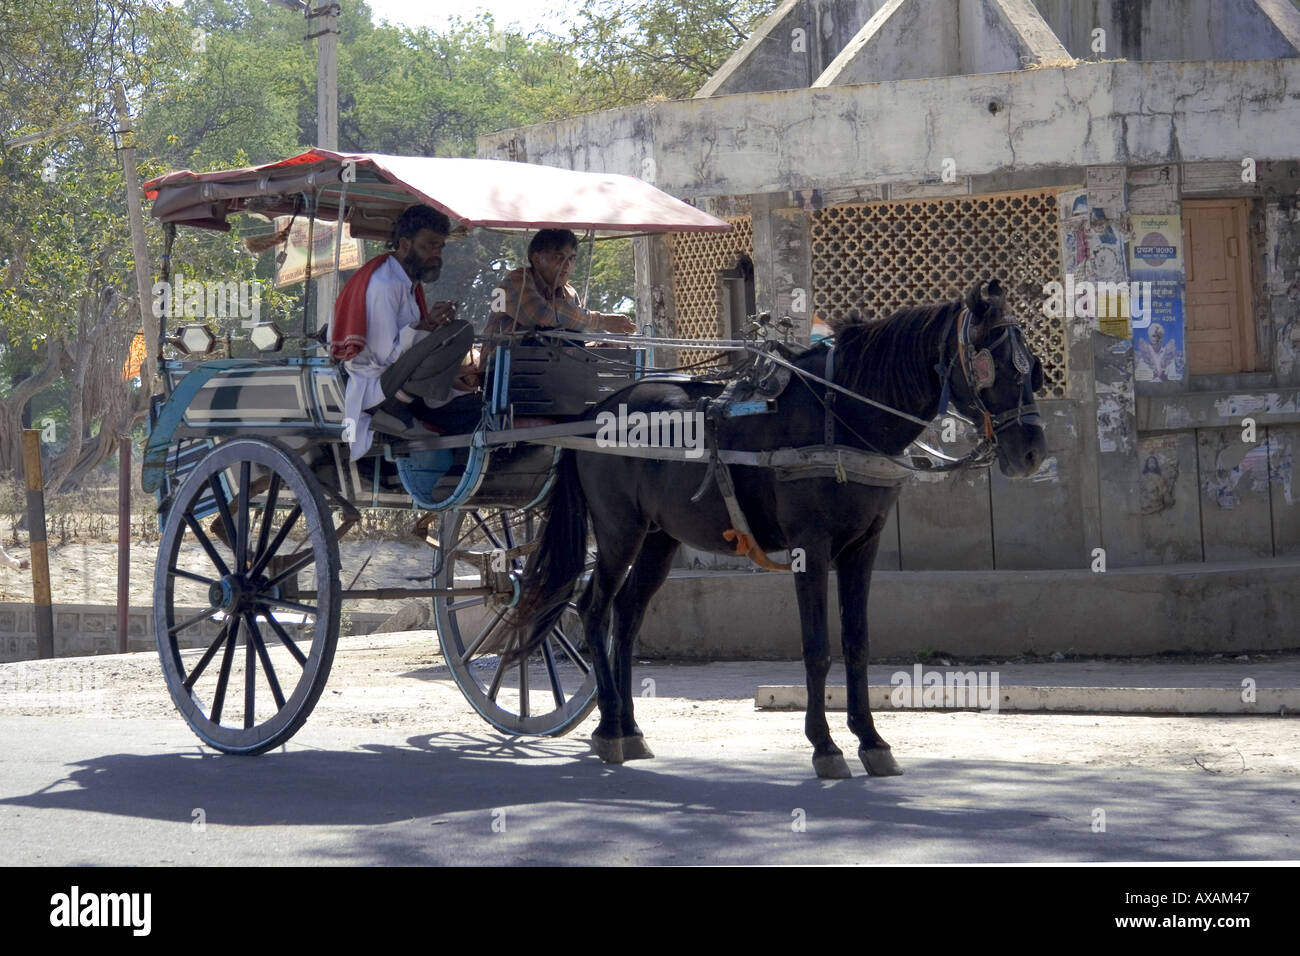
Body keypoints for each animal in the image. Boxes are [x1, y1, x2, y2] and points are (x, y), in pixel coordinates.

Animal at [511, 280, 1048, 778]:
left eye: (1034, 367)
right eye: (992, 364)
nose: (1032, 453)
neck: (842, 416)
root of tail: (593, 410)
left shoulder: (864, 546)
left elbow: (857, 643)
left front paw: (871, 741)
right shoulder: (811, 546)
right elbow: (817, 648)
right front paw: (825, 746)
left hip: (659, 536)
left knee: (627, 614)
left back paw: (630, 728)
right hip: (619, 527)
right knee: (595, 608)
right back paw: (607, 729)